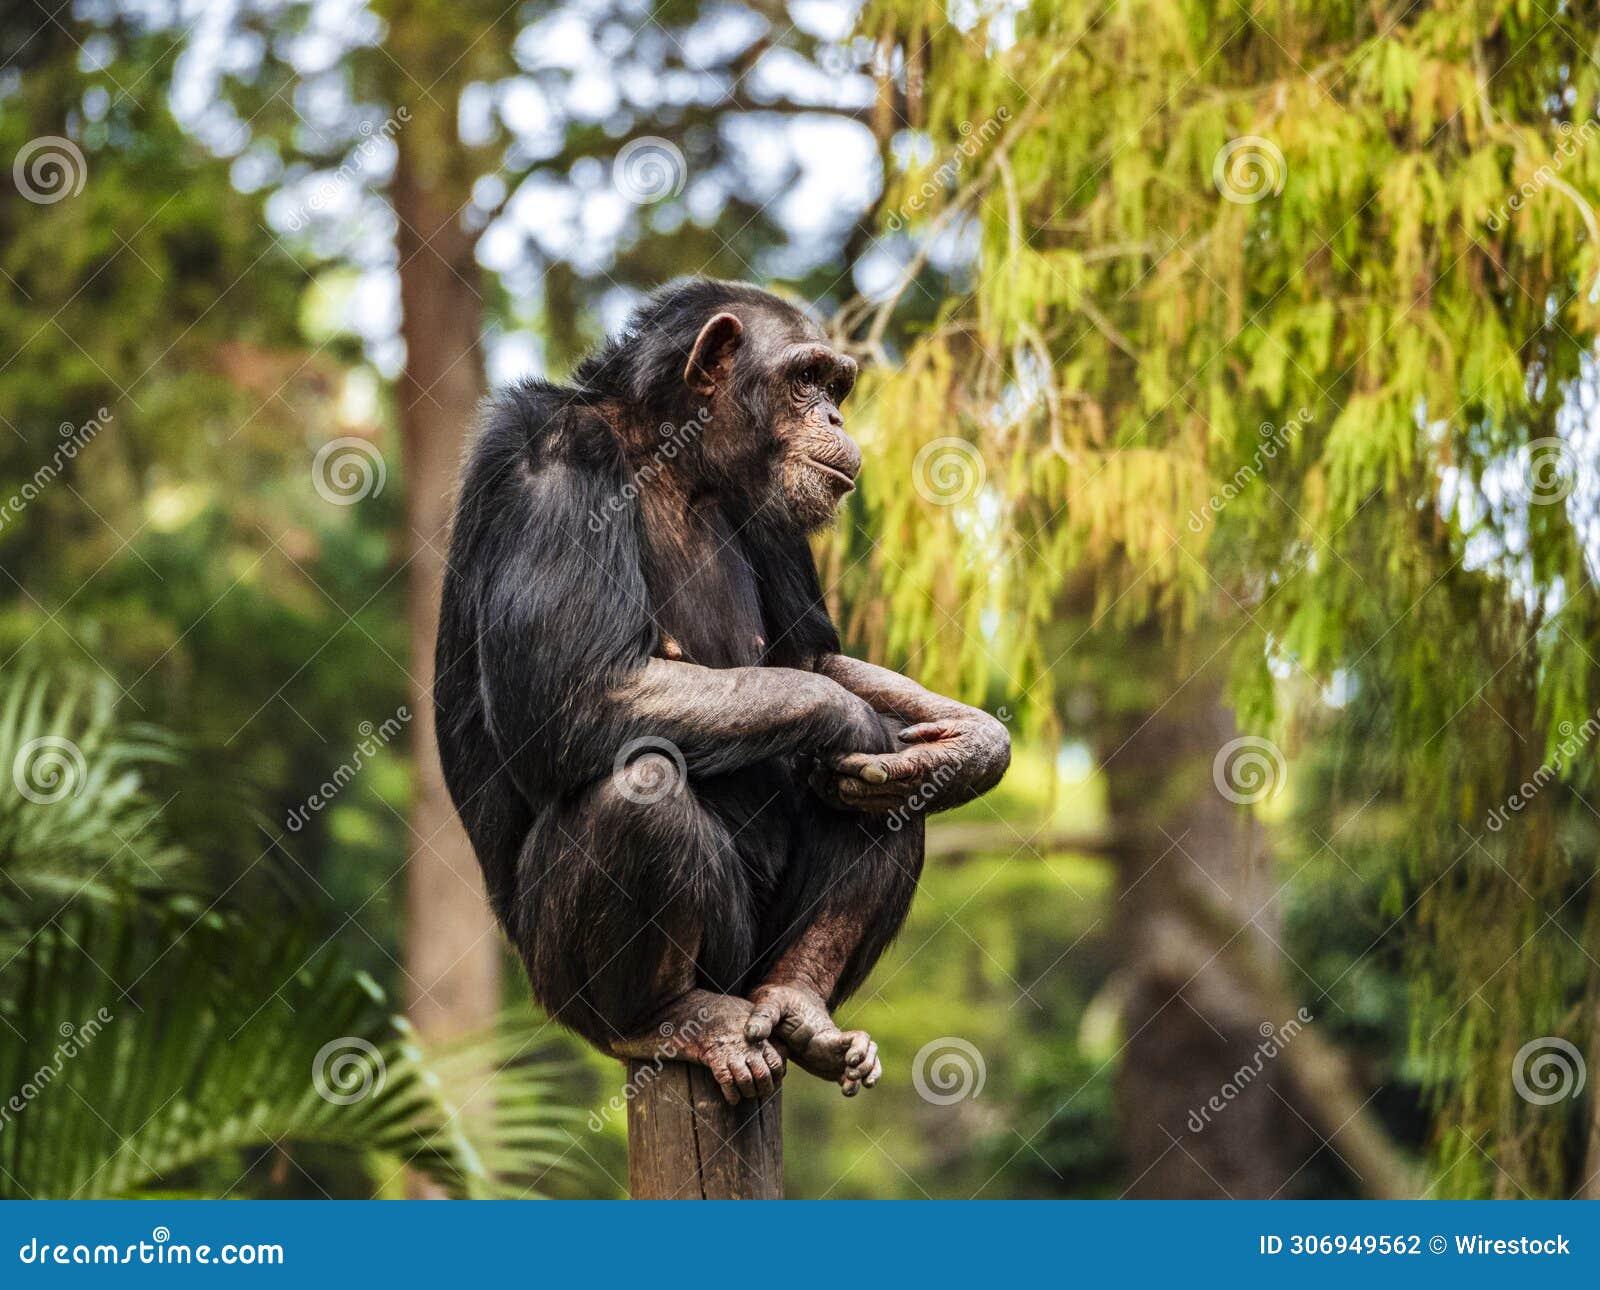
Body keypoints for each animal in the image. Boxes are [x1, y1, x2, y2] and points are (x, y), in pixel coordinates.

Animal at [434, 277, 1009, 1103]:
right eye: (806, 379)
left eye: (836, 386)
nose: (835, 418)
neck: (677, 461)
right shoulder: (550, 464)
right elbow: (574, 693)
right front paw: (855, 720)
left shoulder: (780, 507)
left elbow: (815, 658)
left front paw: (970, 746)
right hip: (566, 991)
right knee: (640, 790)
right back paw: (672, 1018)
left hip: (756, 964)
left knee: (889, 796)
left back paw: (802, 1003)